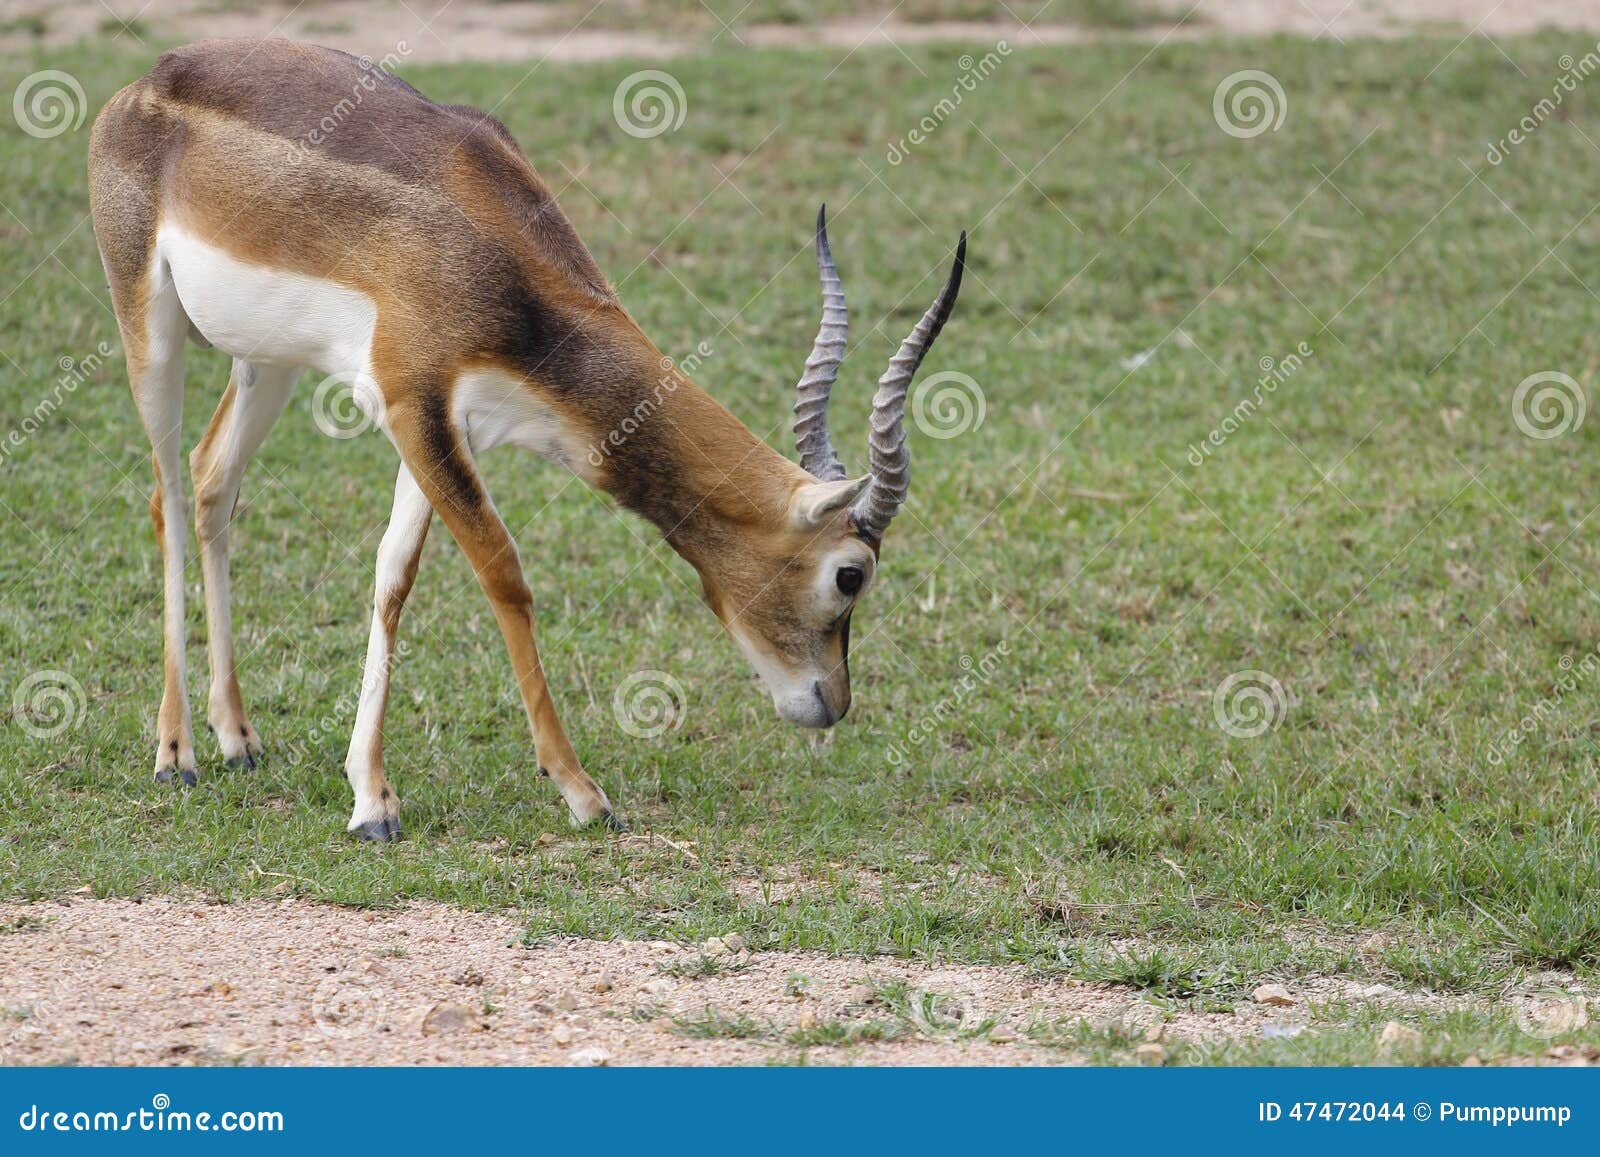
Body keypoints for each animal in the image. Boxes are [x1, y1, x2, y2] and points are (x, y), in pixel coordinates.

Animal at [87, 39, 965, 840]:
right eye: (851, 574)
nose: (832, 703)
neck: (493, 251)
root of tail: (149, 79)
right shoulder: (414, 405)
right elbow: (504, 573)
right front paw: (581, 791)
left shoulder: (445, 425)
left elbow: (394, 578)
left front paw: (370, 795)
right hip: (149, 329)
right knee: (167, 496)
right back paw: (176, 753)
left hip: (266, 361)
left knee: (211, 481)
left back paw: (238, 737)